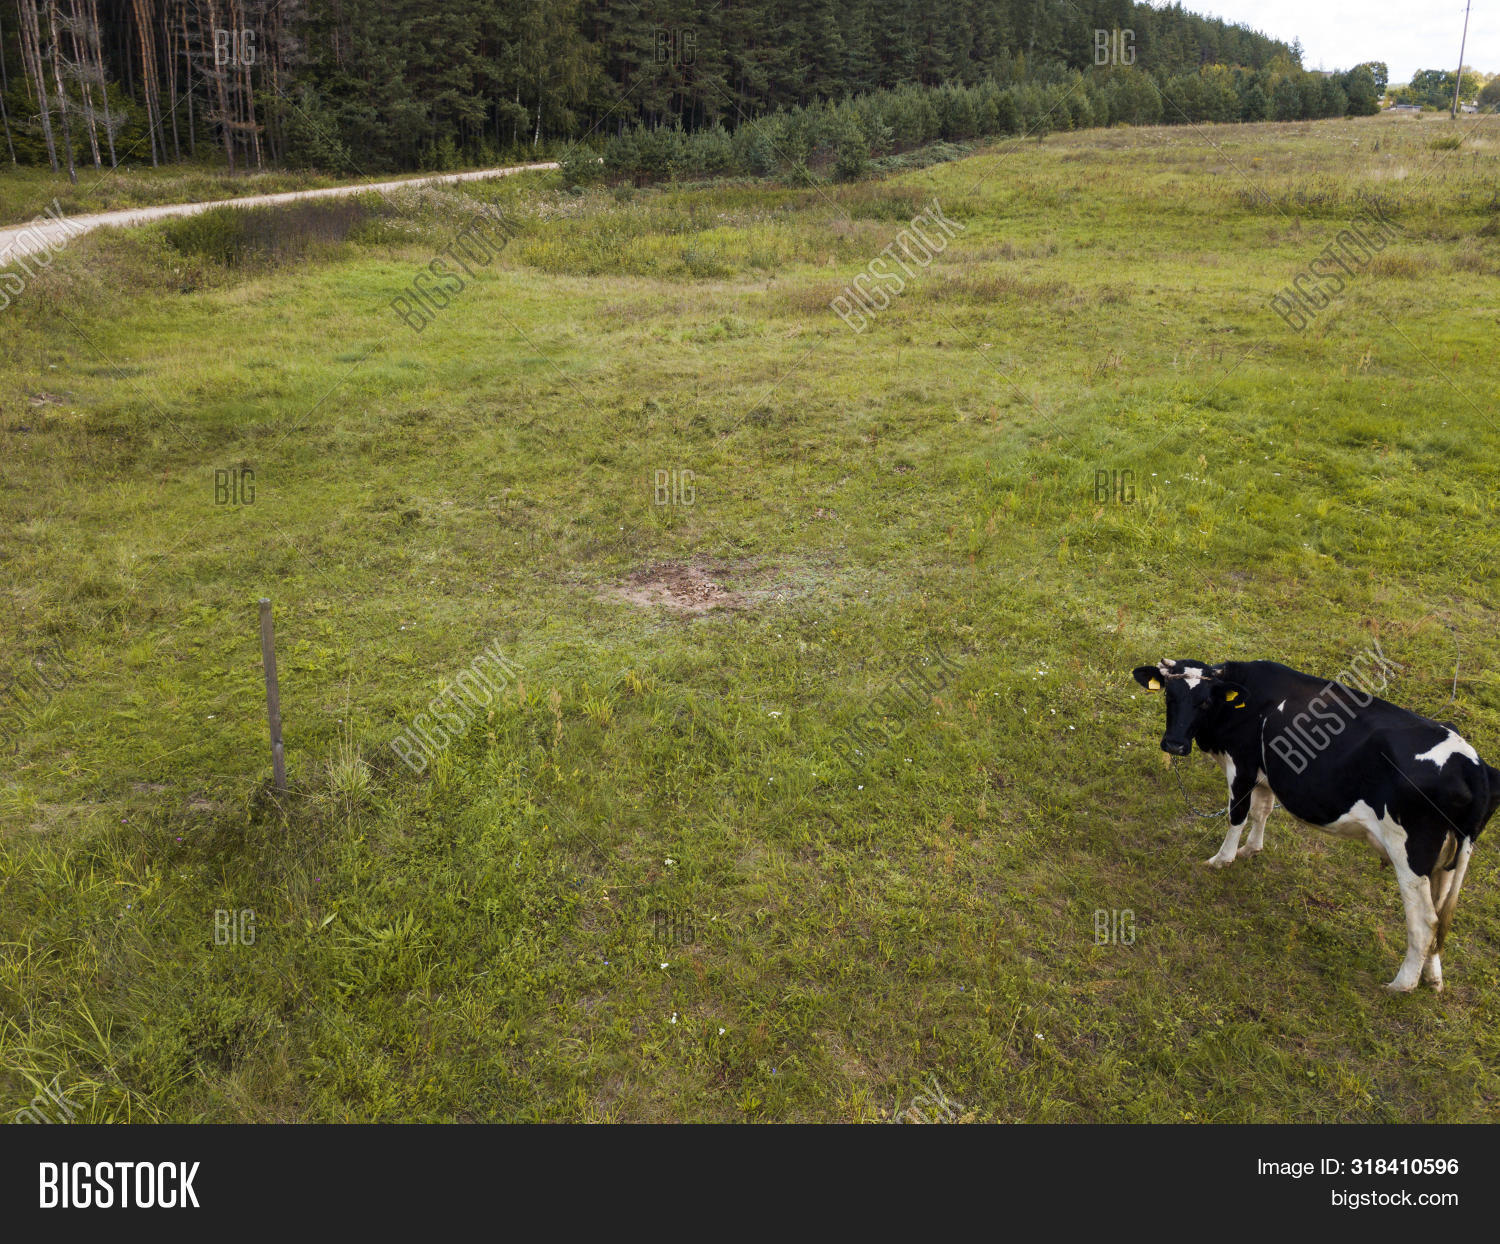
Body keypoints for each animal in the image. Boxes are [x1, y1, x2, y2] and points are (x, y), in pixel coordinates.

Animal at [1131, 657, 1498, 992]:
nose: (1174, 744)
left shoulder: (1243, 766)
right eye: (1169, 697)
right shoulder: (1267, 772)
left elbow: (1238, 814)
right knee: (1439, 917)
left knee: (1424, 921)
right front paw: (1252, 849)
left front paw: (1222, 859)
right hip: (1447, 859)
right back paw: (1431, 978)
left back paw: (1401, 984)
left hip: (1411, 853)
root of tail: (1474, 764)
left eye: (1205, 701)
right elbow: (1263, 810)